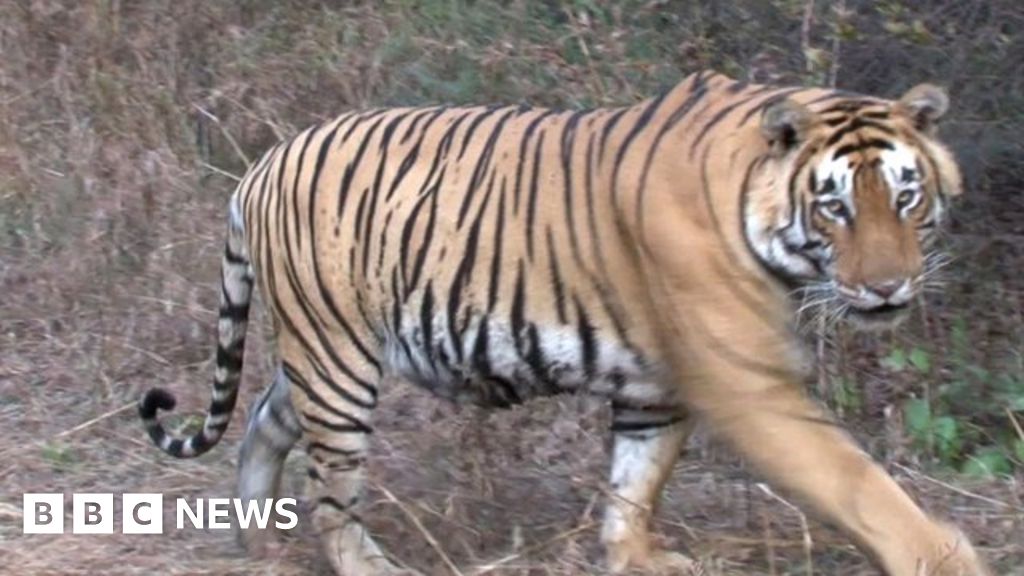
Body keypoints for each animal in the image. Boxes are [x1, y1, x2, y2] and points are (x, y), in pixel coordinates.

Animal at [139, 71, 991, 575]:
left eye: (905, 196)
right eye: (836, 206)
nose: (888, 287)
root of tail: (259, 168)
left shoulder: (658, 388)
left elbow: (635, 480)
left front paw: (632, 557)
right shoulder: (751, 388)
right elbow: (860, 486)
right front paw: (947, 558)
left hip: (321, 355)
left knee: (262, 422)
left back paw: (259, 540)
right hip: (337, 364)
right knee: (330, 490)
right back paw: (363, 563)